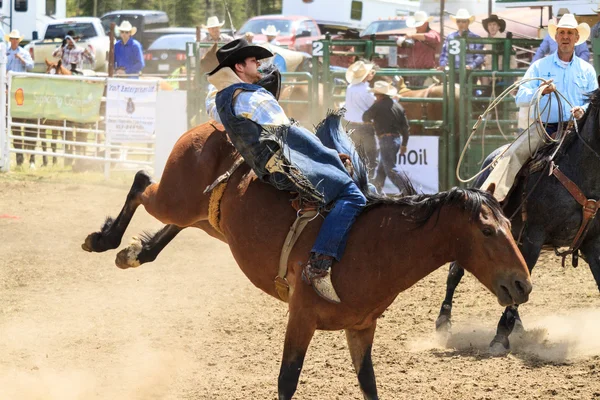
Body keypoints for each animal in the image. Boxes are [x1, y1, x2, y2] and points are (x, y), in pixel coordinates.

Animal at [82, 122, 532, 400]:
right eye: (488, 231)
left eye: (512, 224)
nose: (523, 284)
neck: (374, 244)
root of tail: (209, 126)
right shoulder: (301, 315)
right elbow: (287, 380)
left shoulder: (361, 328)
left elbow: (368, 386)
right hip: (174, 197)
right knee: (142, 181)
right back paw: (103, 239)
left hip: (205, 217)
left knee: (172, 221)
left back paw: (135, 252)